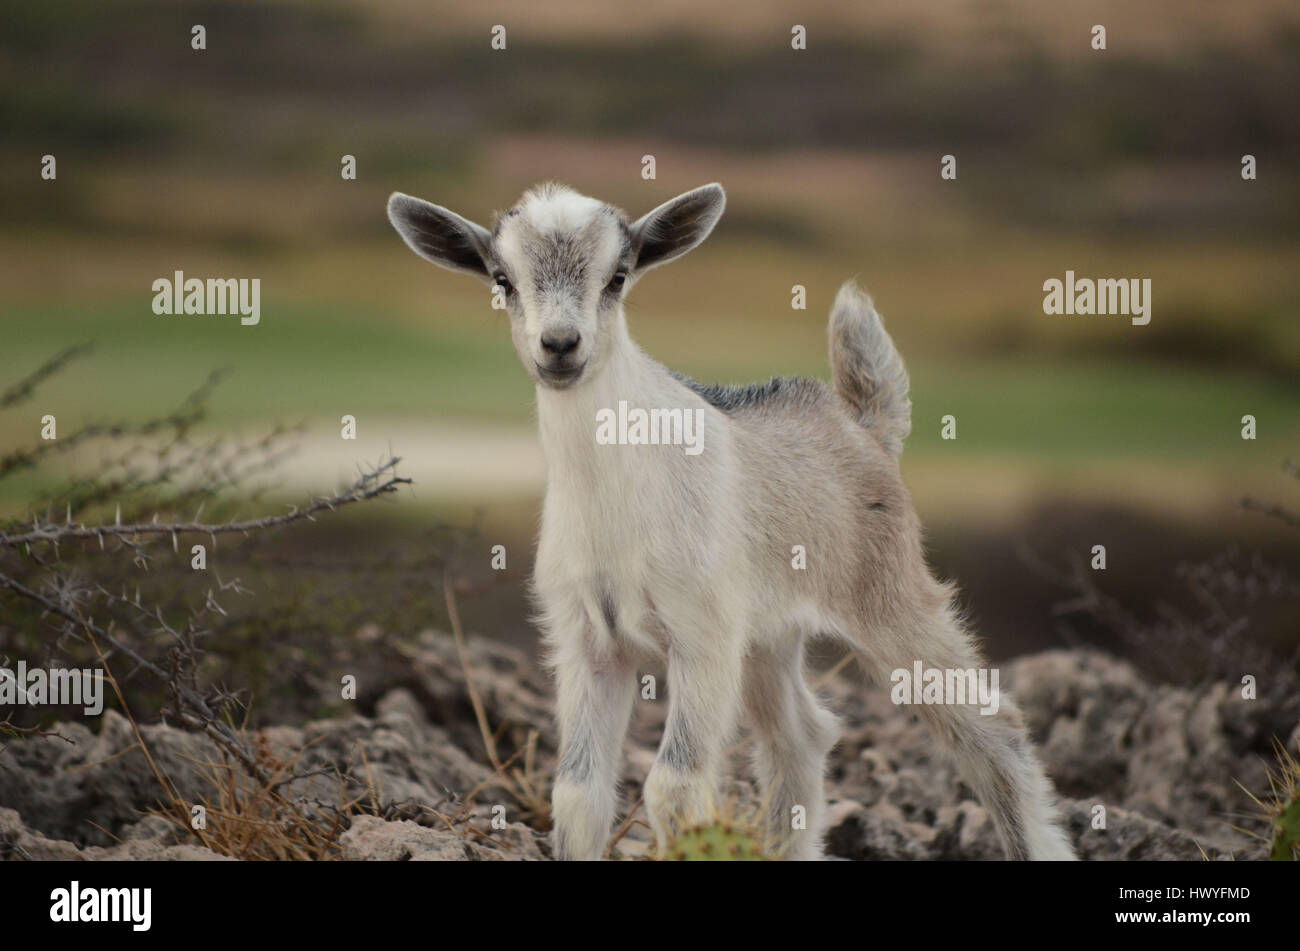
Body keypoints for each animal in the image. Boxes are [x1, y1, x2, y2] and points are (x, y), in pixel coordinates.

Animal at [387, 182, 1077, 861]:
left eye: (618, 276)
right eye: (501, 278)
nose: (559, 346)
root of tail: (866, 426)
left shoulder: (703, 633)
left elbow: (673, 784)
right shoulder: (587, 640)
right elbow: (578, 791)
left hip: (892, 600)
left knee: (993, 732)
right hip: (768, 639)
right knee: (803, 735)